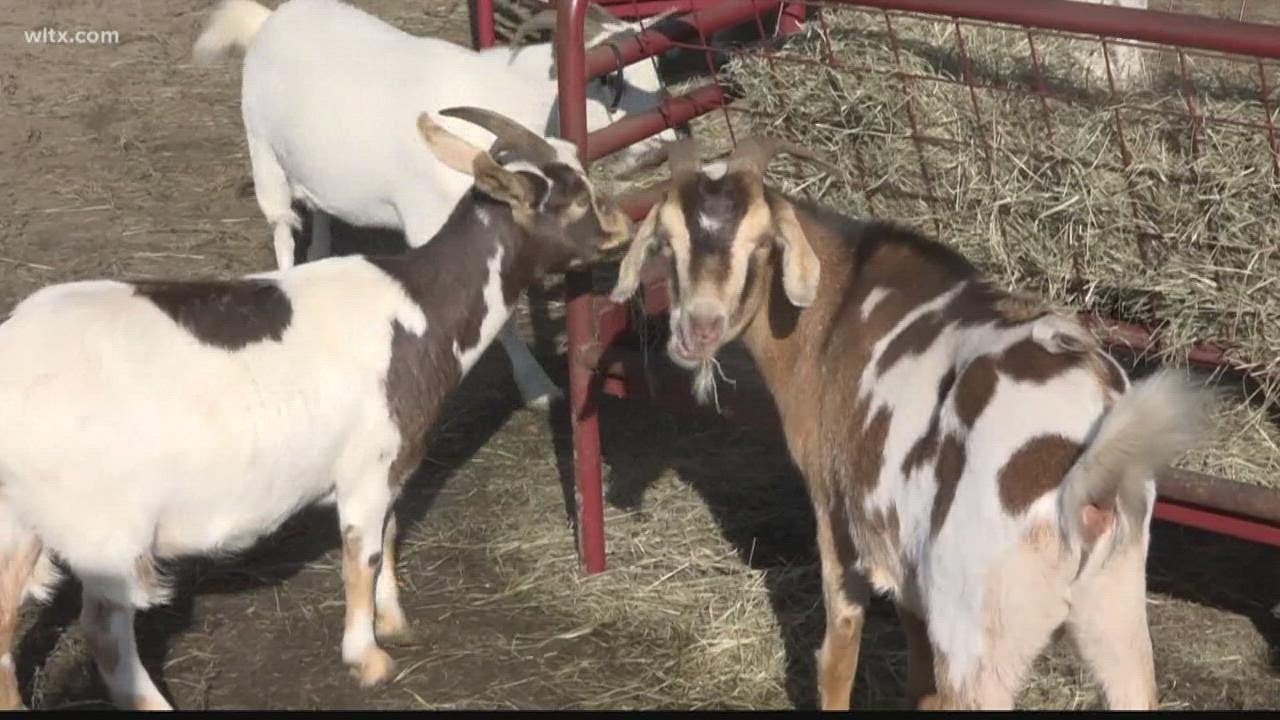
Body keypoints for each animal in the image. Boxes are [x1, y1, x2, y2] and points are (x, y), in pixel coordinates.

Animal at [0, 107, 631, 711]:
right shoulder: (366, 469)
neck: (421, 308)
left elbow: (390, 533)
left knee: (6, 604)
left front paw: (394, 621)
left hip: (20, 517)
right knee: (104, 631)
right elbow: (364, 553)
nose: (623, 226)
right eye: (574, 198)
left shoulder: (388, 469)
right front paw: (367, 658)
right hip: (106, 533)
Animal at [193, 0, 676, 409]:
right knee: (281, 231)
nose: (659, 150)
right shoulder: (441, 222)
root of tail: (270, 20)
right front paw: (538, 388)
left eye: (656, 75)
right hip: (263, 154)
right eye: (605, 79)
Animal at [609, 137, 1210, 710]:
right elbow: (917, 665)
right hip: (1115, 609)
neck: (833, 311)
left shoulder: (838, 513)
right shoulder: (906, 560)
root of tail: (1086, 471)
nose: (699, 329)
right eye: (666, 242)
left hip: (980, 634)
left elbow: (838, 652)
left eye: (762, 243)